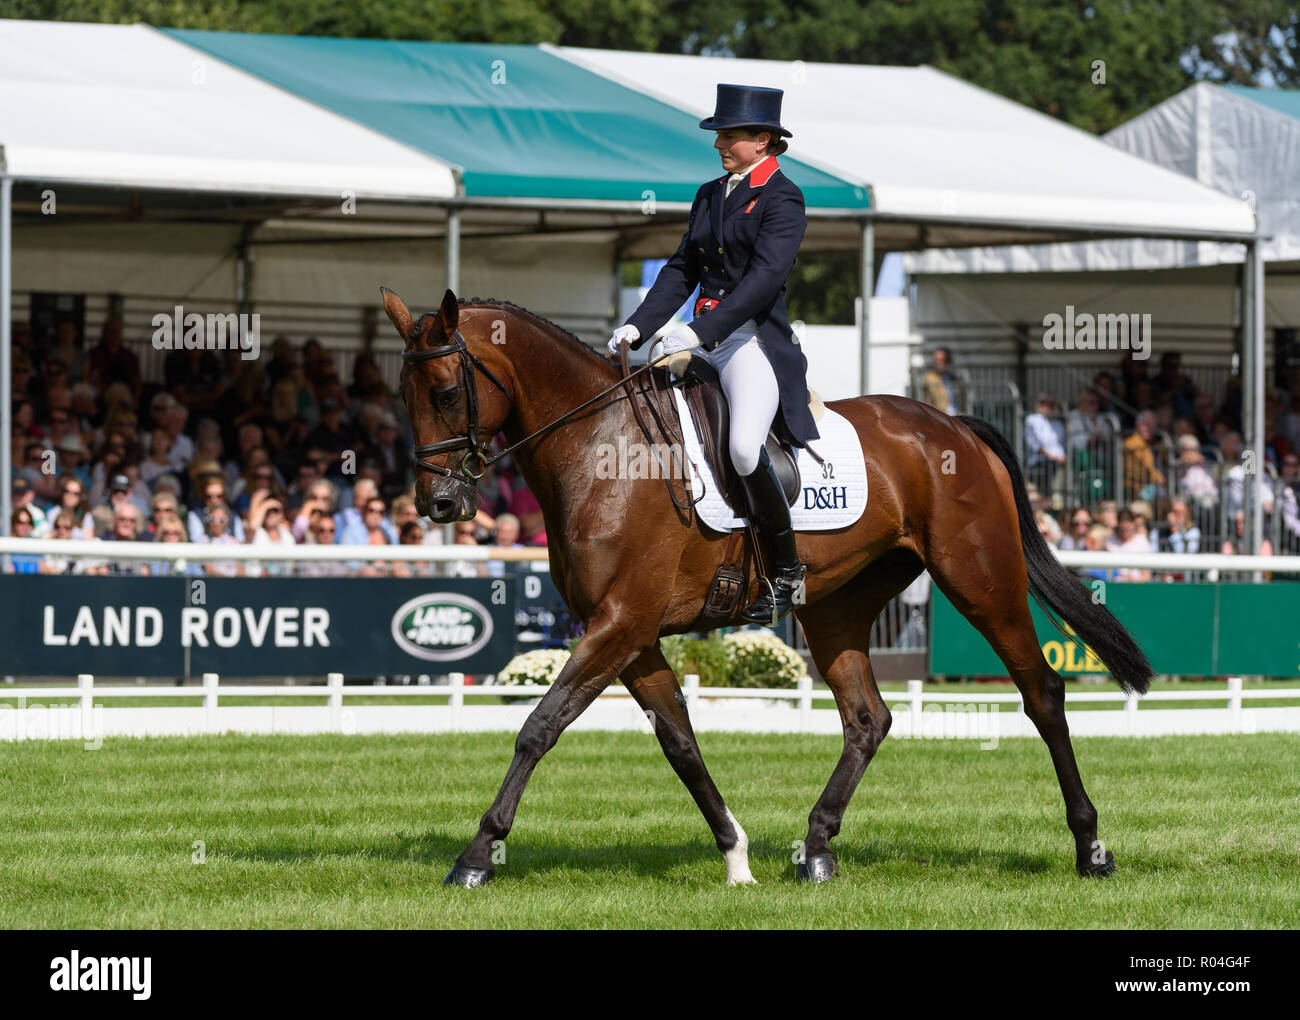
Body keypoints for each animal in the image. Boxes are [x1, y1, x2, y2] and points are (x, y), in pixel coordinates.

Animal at [382, 284, 1149, 883]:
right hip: (836, 606)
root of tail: (951, 426)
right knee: (867, 719)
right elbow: (680, 742)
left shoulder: (620, 622)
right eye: (400, 396)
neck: (600, 448)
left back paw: (1091, 848)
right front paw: (736, 855)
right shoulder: (631, 634)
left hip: (981, 582)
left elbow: (539, 727)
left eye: (446, 392)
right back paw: (815, 849)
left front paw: (477, 855)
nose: (438, 507)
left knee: (1042, 694)